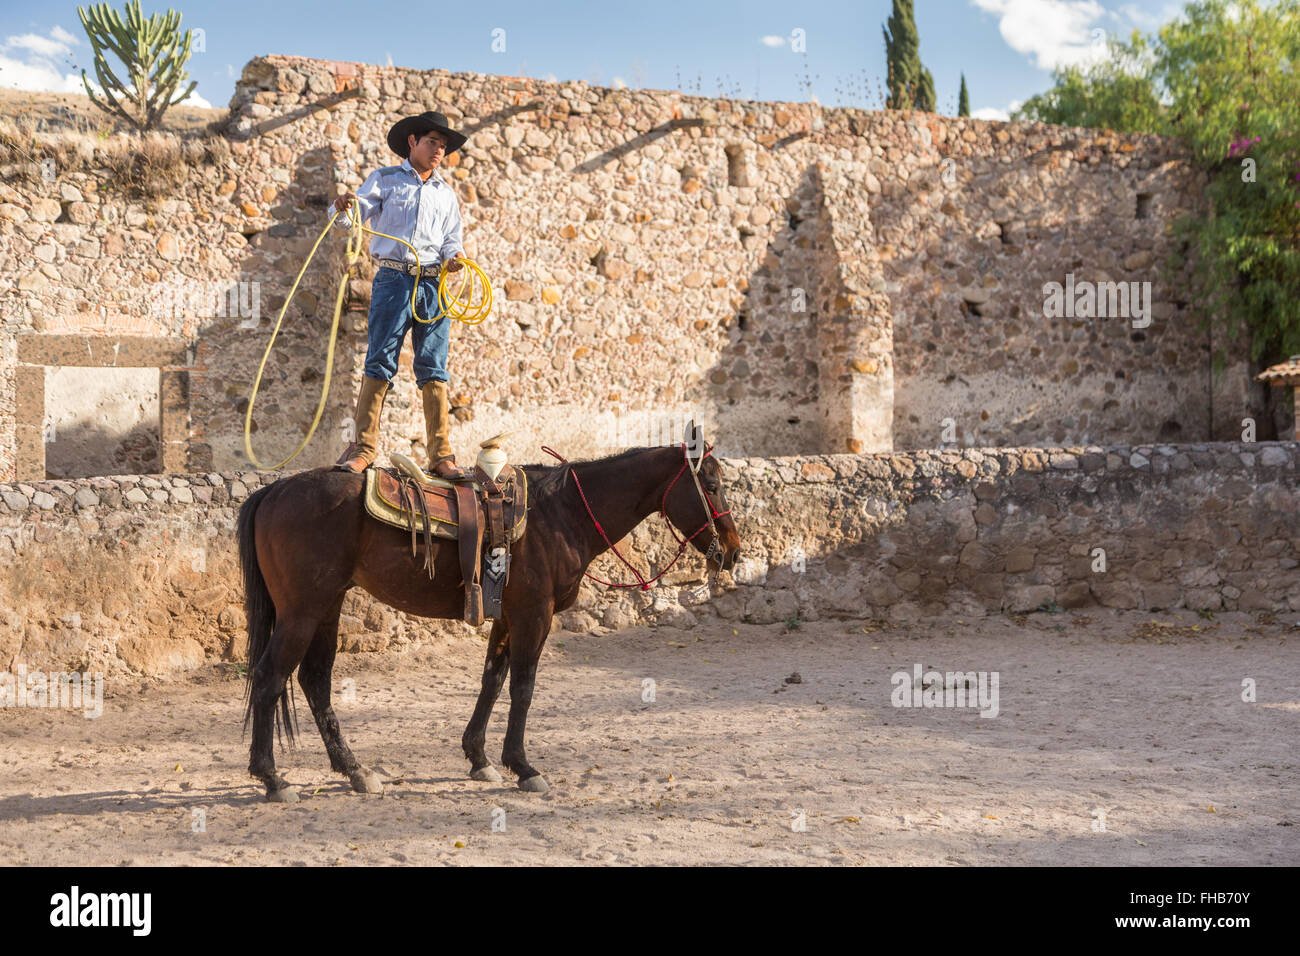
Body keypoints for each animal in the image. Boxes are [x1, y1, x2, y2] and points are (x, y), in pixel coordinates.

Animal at [235, 435, 742, 801]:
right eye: (711, 485)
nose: (734, 552)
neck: (562, 514)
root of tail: (273, 490)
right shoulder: (534, 615)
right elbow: (523, 687)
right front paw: (523, 766)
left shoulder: (507, 616)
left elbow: (492, 680)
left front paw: (479, 758)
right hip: (303, 611)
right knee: (269, 677)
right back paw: (272, 778)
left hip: (327, 607)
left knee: (314, 681)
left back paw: (355, 771)